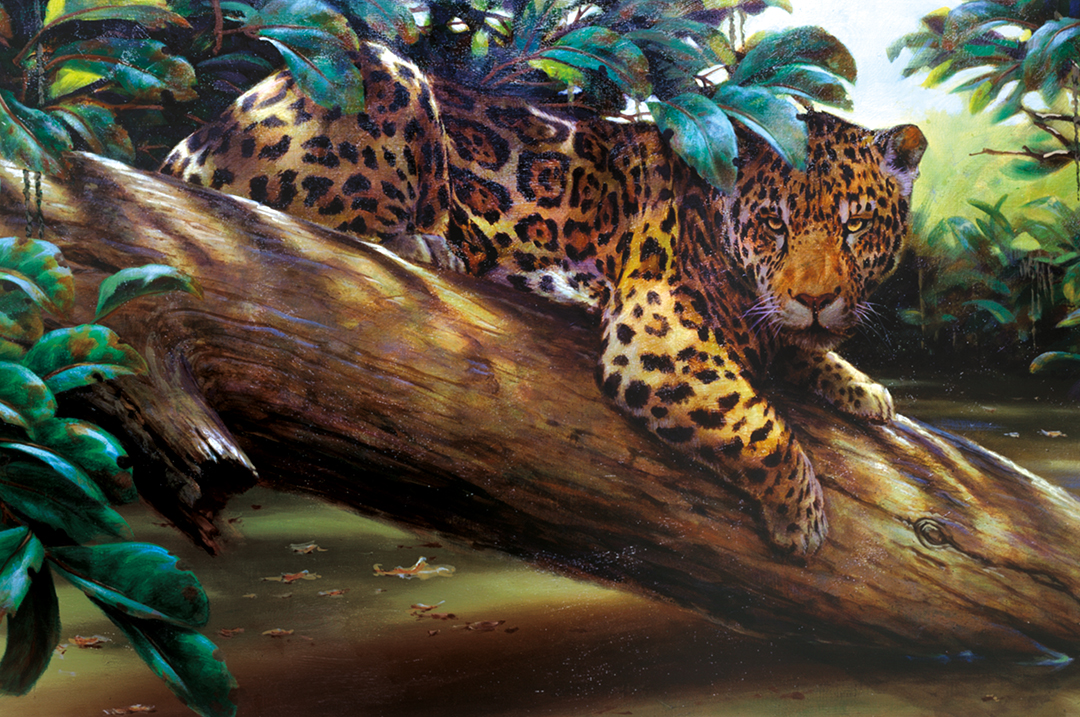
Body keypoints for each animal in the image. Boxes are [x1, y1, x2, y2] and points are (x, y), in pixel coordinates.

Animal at [160, 41, 927, 557]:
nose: (818, 298)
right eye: (775, 225)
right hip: (383, 75)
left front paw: (862, 387)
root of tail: (195, 138)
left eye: (855, 225)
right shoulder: (660, 330)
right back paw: (441, 249)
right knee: (332, 214)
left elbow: (794, 349)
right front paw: (803, 517)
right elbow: (755, 420)